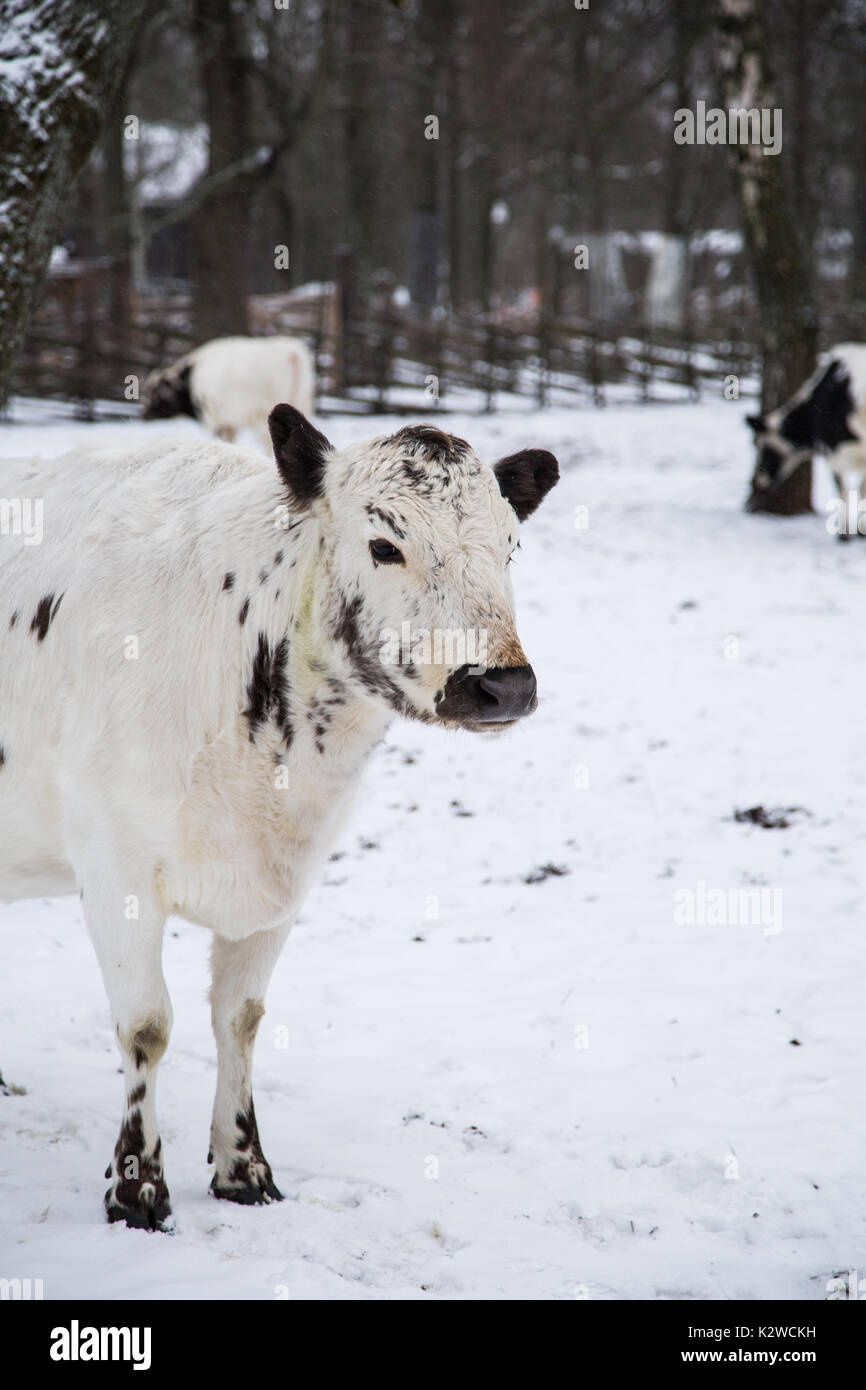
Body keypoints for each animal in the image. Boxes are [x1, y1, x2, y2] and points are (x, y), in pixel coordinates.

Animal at [0, 408, 558, 1229]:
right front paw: (138, 1190)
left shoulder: (285, 880)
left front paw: (244, 1169)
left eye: (511, 547)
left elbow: (241, 1017)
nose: (504, 685)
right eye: (385, 545)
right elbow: (146, 1025)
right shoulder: (114, 867)